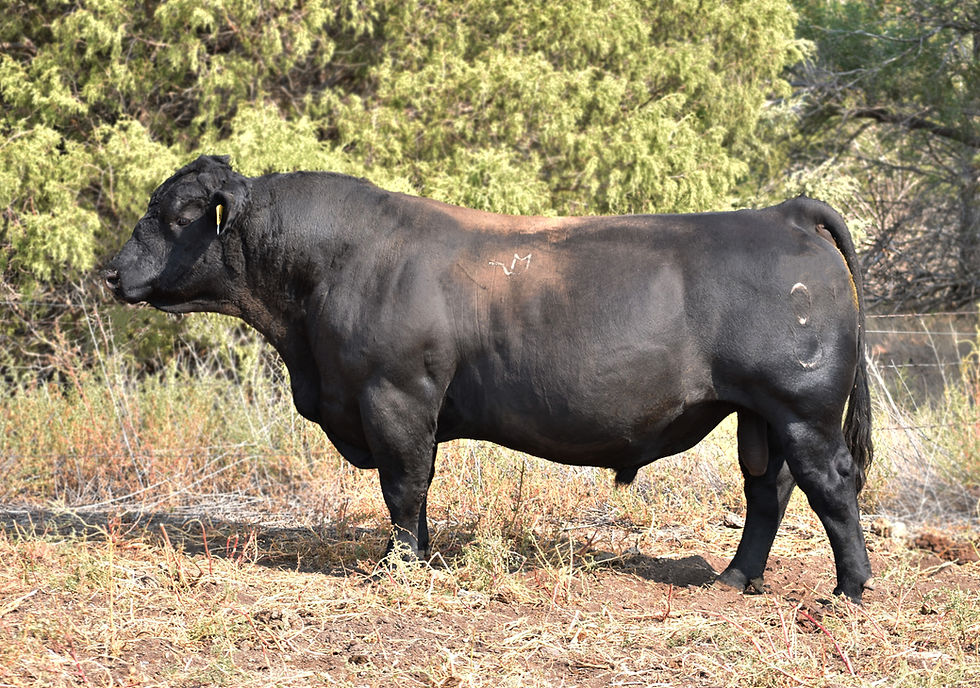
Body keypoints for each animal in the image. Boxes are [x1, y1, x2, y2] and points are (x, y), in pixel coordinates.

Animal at [105, 155, 874, 602]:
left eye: (177, 215)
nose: (110, 273)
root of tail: (782, 213)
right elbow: (414, 492)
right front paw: (418, 559)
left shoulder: (396, 398)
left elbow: (403, 487)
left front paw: (401, 568)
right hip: (760, 414)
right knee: (769, 488)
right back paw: (735, 578)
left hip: (801, 408)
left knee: (831, 485)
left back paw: (848, 589)